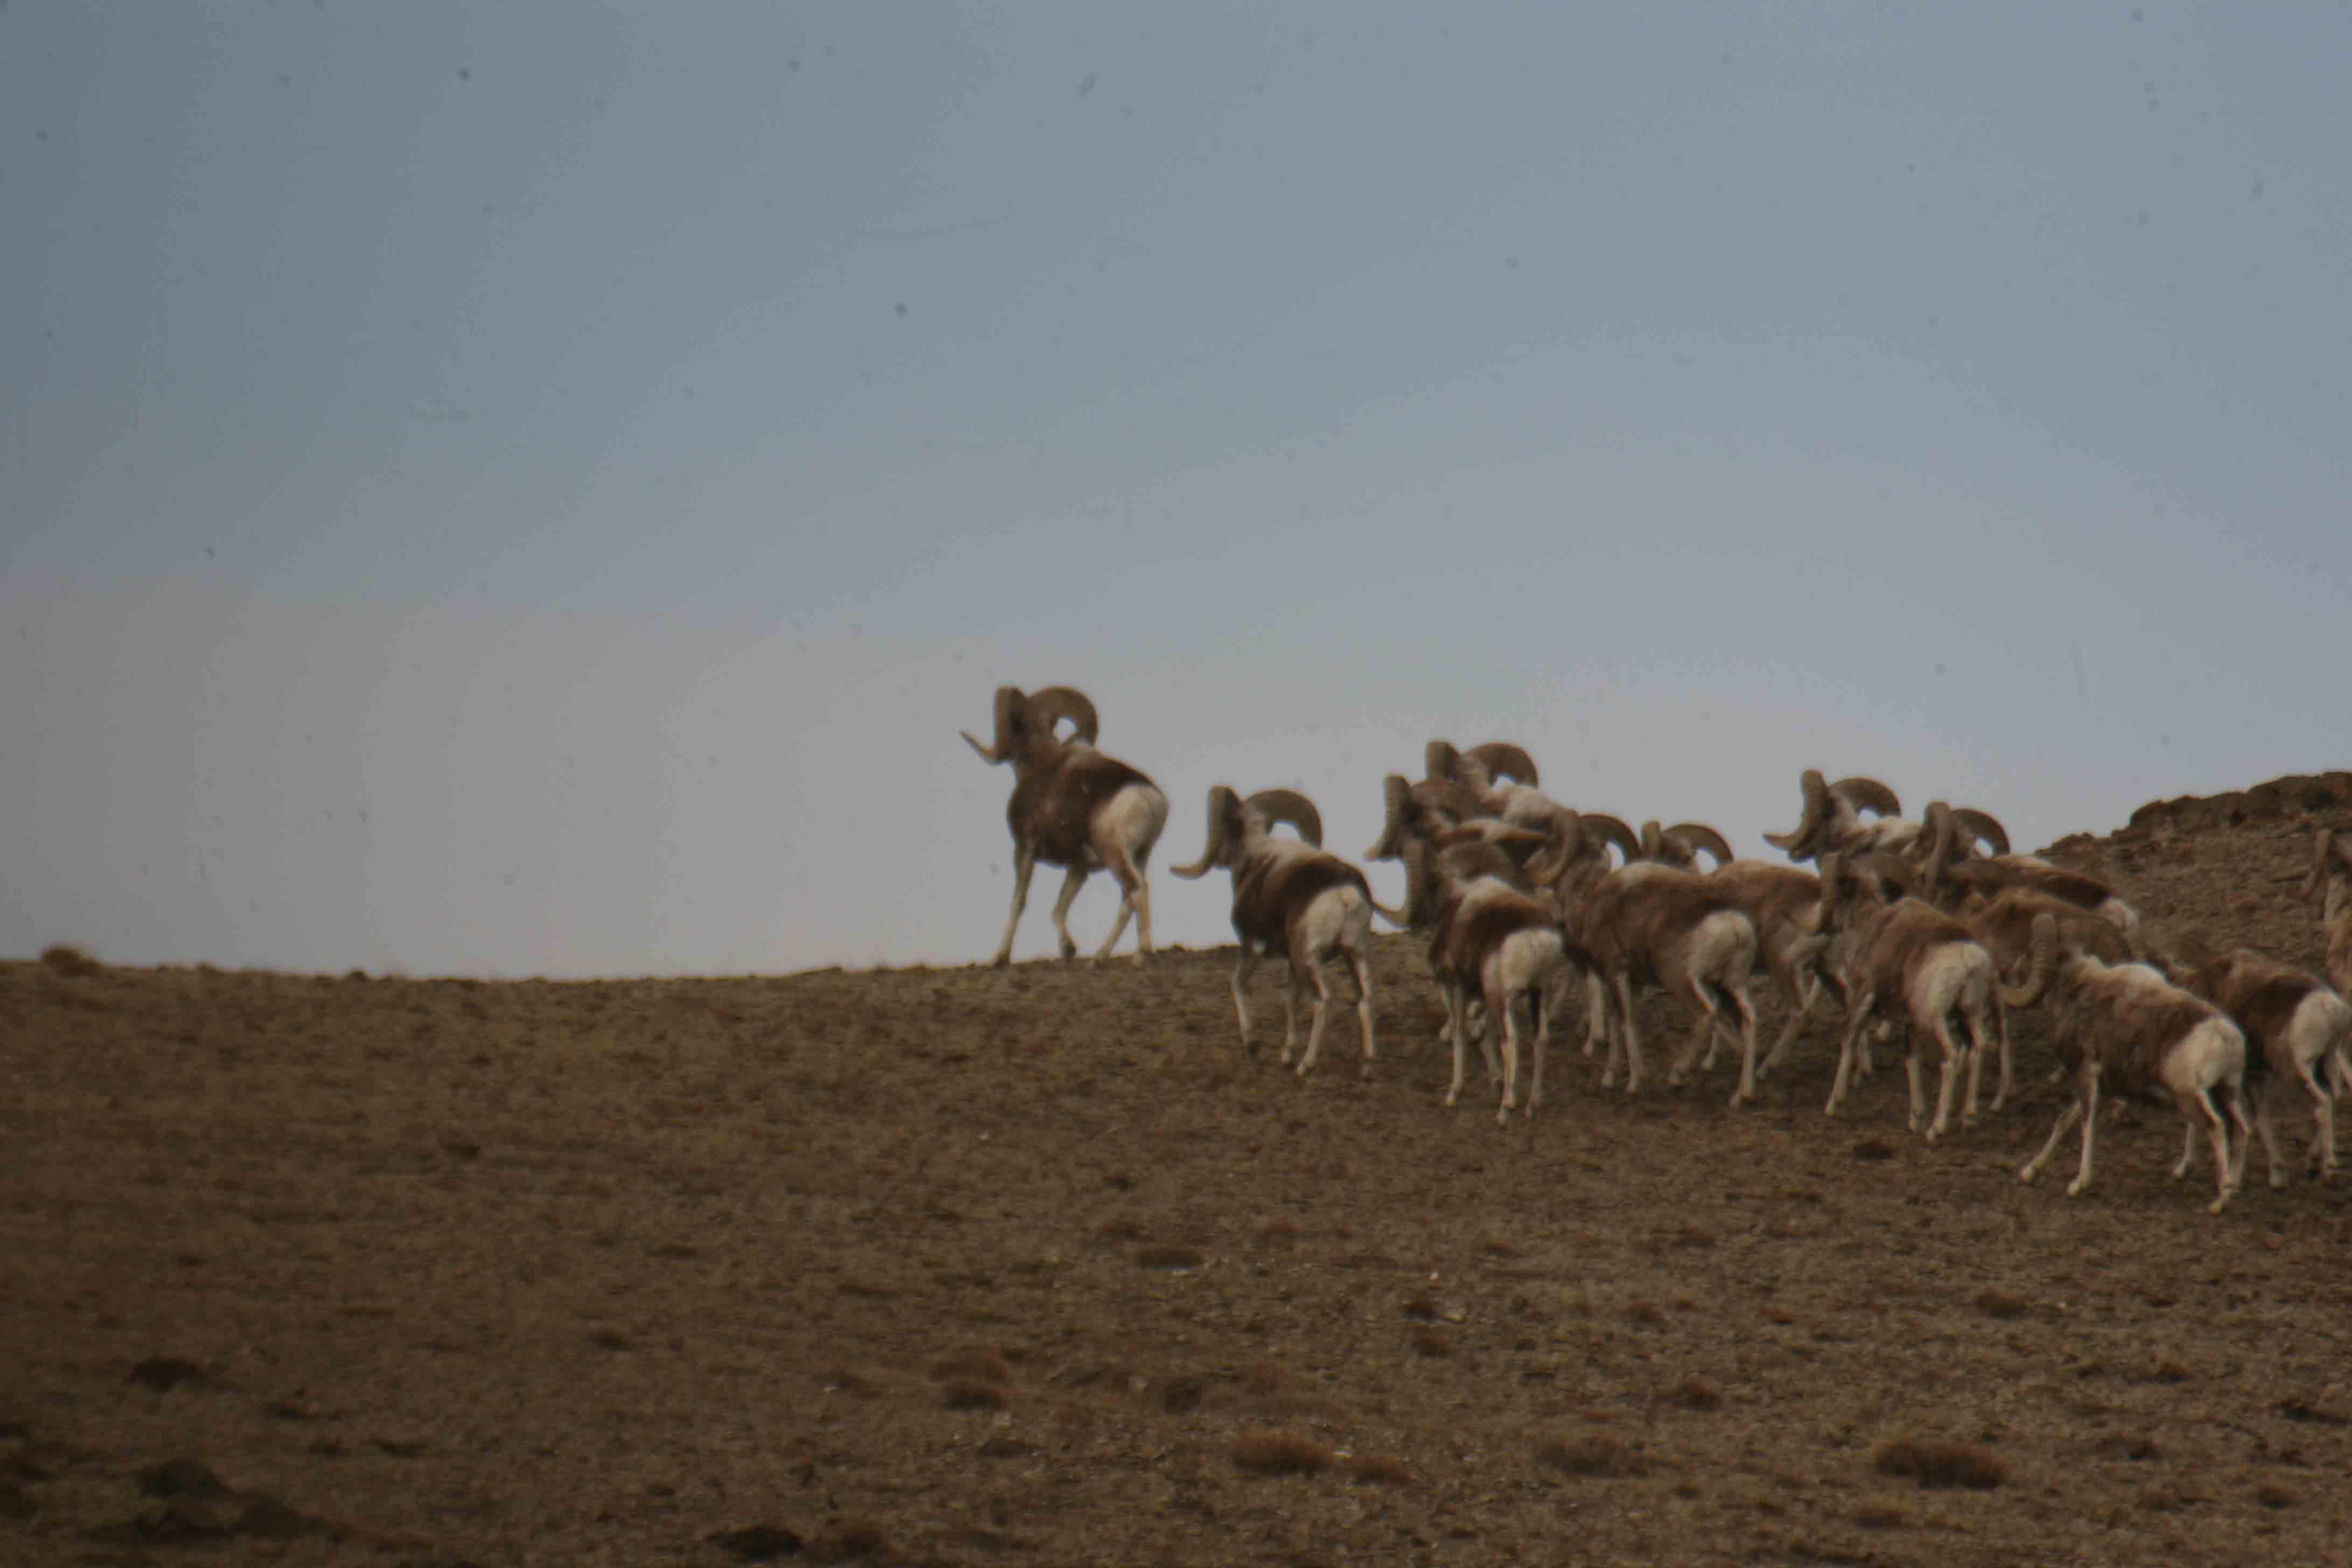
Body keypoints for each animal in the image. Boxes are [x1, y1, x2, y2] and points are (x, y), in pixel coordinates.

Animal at [962, 685, 1168, 967]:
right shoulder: (1079, 866)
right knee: (1128, 901)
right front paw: (1068, 950)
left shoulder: (1025, 849)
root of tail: (1145, 796)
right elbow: (1059, 909)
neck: (1039, 762)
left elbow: (1019, 902)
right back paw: (1098, 959)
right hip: (1141, 855)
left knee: (1137, 891)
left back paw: (1141, 955)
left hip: (1115, 855)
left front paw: (1000, 958)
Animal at [1169, 785, 1380, 1080]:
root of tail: (1344, 894)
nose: (1221, 857)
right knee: (1365, 999)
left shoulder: (1253, 946)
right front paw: (1286, 1055)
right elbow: (1291, 999)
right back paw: (1367, 1068)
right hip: (1354, 955)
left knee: (1324, 1000)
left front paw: (1253, 1045)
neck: (1257, 857)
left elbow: (1237, 984)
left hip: (1309, 958)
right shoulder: (1290, 963)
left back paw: (1306, 1066)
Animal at [1816, 854, 2000, 1141]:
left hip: (1935, 1019)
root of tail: (1967, 959)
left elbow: (1849, 1041)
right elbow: (1911, 1062)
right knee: (1977, 1048)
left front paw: (1834, 1105)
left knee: (1952, 1057)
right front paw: (1916, 1119)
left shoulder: (1861, 997)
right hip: (1969, 1013)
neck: (1868, 923)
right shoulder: (1910, 1023)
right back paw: (1968, 1118)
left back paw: (1937, 1130)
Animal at [2002, 912, 2251, 1214]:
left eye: (2029, 951)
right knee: (2241, 1129)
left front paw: (2078, 1184)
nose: (2012, 971)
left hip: (2191, 1097)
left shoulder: (2085, 1077)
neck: (2078, 991)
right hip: (2227, 1091)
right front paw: (2031, 1171)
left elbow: (2086, 1126)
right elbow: (2063, 1122)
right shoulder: (2095, 1084)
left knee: (2217, 1128)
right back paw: (2232, 1186)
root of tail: (2225, 1036)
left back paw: (2220, 1201)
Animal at [2176, 948, 2352, 1185]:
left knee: (2322, 1105)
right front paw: (2277, 1174)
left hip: (2299, 1072)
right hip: (2326, 1064)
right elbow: (2261, 1120)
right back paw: (2313, 1163)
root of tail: (2327, 1007)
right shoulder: (2254, 1076)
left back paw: (2328, 1168)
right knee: (2333, 1099)